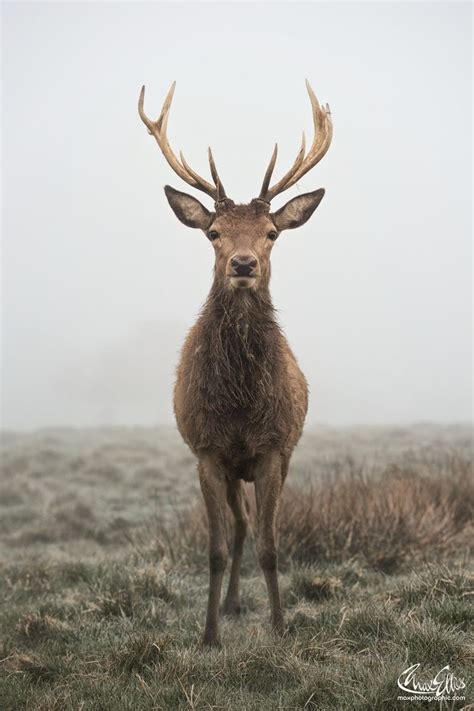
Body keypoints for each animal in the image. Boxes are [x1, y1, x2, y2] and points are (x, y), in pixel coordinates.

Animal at [138, 80, 332, 646]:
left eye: (271, 232)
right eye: (213, 232)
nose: (242, 264)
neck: (242, 405)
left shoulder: (272, 451)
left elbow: (271, 546)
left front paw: (281, 627)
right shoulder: (206, 452)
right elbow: (216, 550)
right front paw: (208, 636)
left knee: (254, 527)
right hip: (228, 470)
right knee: (240, 526)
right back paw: (229, 605)